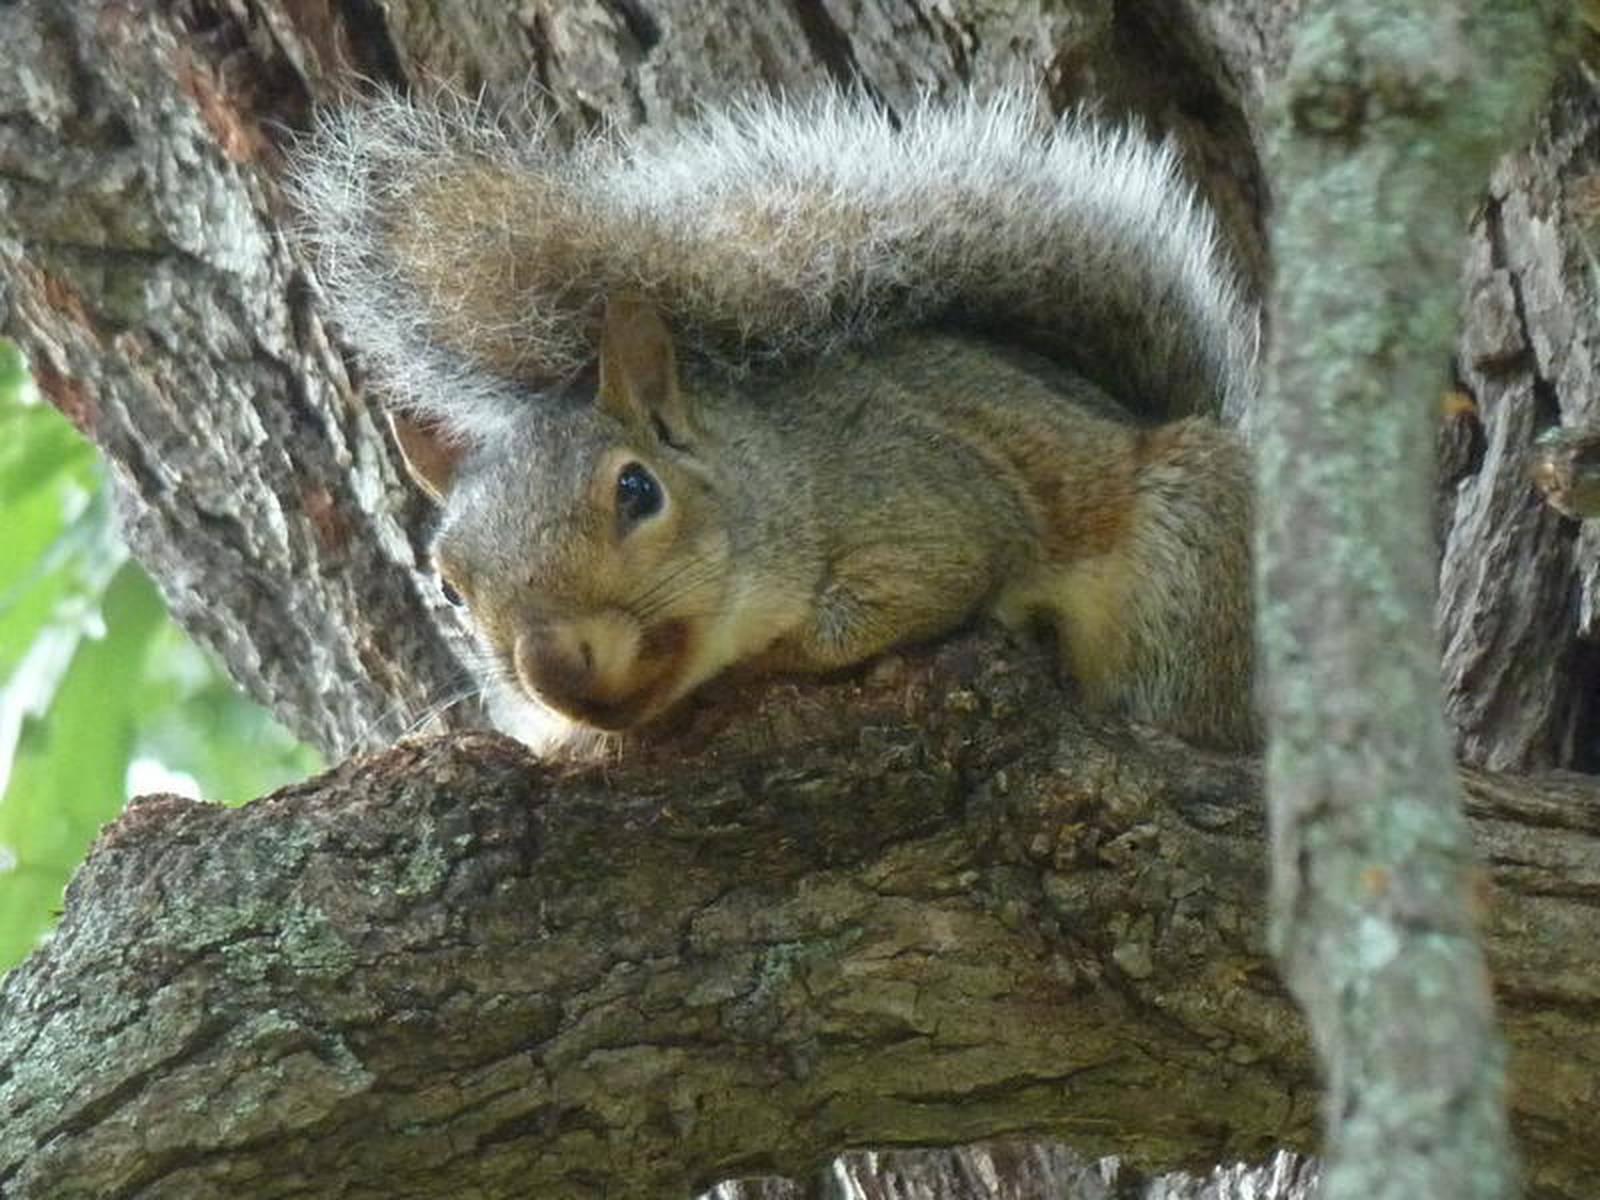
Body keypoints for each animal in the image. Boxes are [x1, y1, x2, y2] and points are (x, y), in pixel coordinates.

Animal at [290, 89, 1259, 749]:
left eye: (638, 492)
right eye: (450, 586)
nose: (553, 668)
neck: (767, 473)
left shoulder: (922, 497)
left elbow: (900, 594)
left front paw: (766, 659)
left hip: (1190, 553)